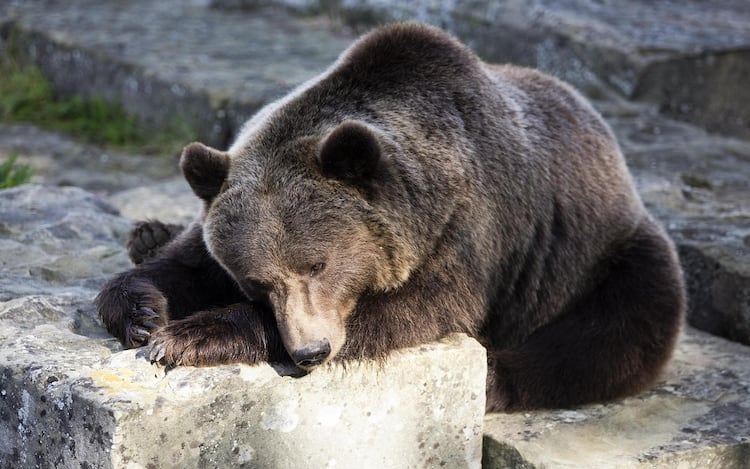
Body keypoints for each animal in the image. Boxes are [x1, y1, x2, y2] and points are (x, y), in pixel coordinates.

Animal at [96, 23, 685, 411]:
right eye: (256, 280)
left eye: (318, 265)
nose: (310, 351)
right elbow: (183, 266)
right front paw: (143, 314)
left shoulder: (469, 232)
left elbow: (408, 311)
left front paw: (188, 337)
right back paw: (147, 232)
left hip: (599, 254)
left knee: (614, 332)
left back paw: (495, 380)